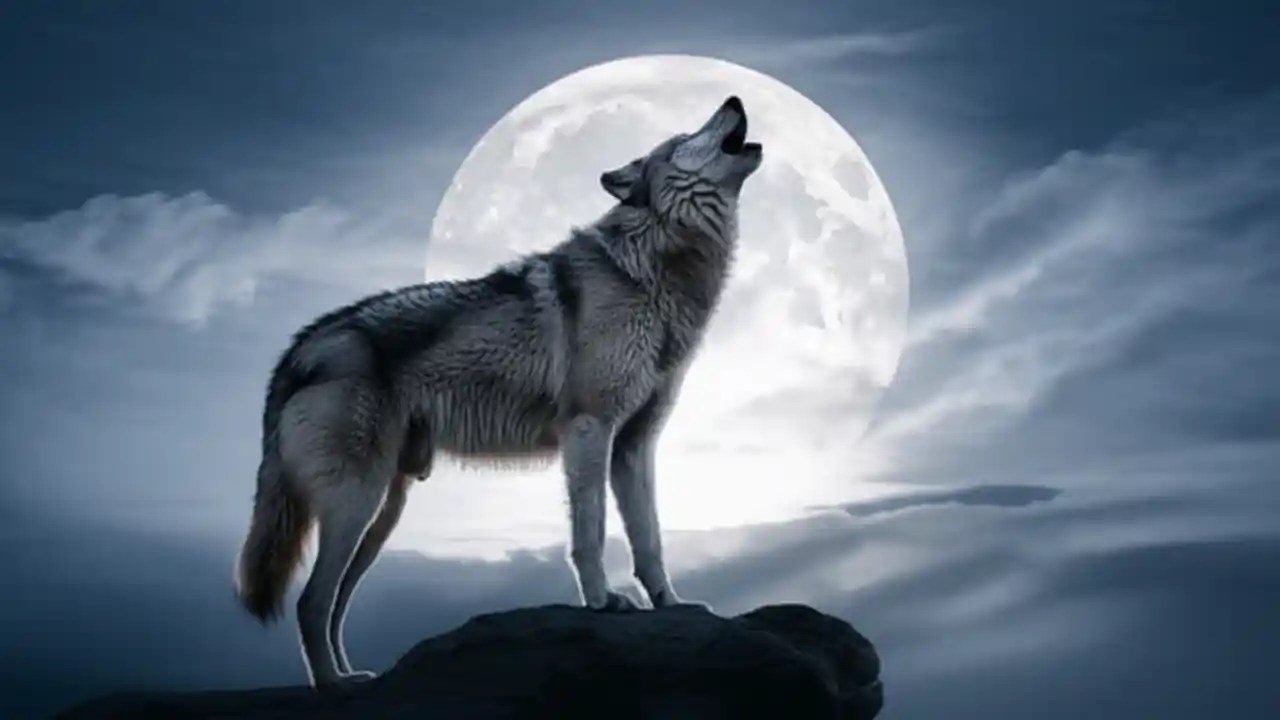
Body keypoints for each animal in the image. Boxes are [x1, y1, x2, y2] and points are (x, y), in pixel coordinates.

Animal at [233, 96, 763, 686]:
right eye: (686, 136)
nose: (734, 99)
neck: (655, 264)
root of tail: (299, 347)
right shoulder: (589, 429)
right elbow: (591, 533)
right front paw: (603, 601)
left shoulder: (633, 444)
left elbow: (649, 539)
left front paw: (671, 603)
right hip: (357, 503)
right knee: (311, 602)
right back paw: (333, 684)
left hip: (382, 510)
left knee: (334, 604)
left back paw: (352, 673)